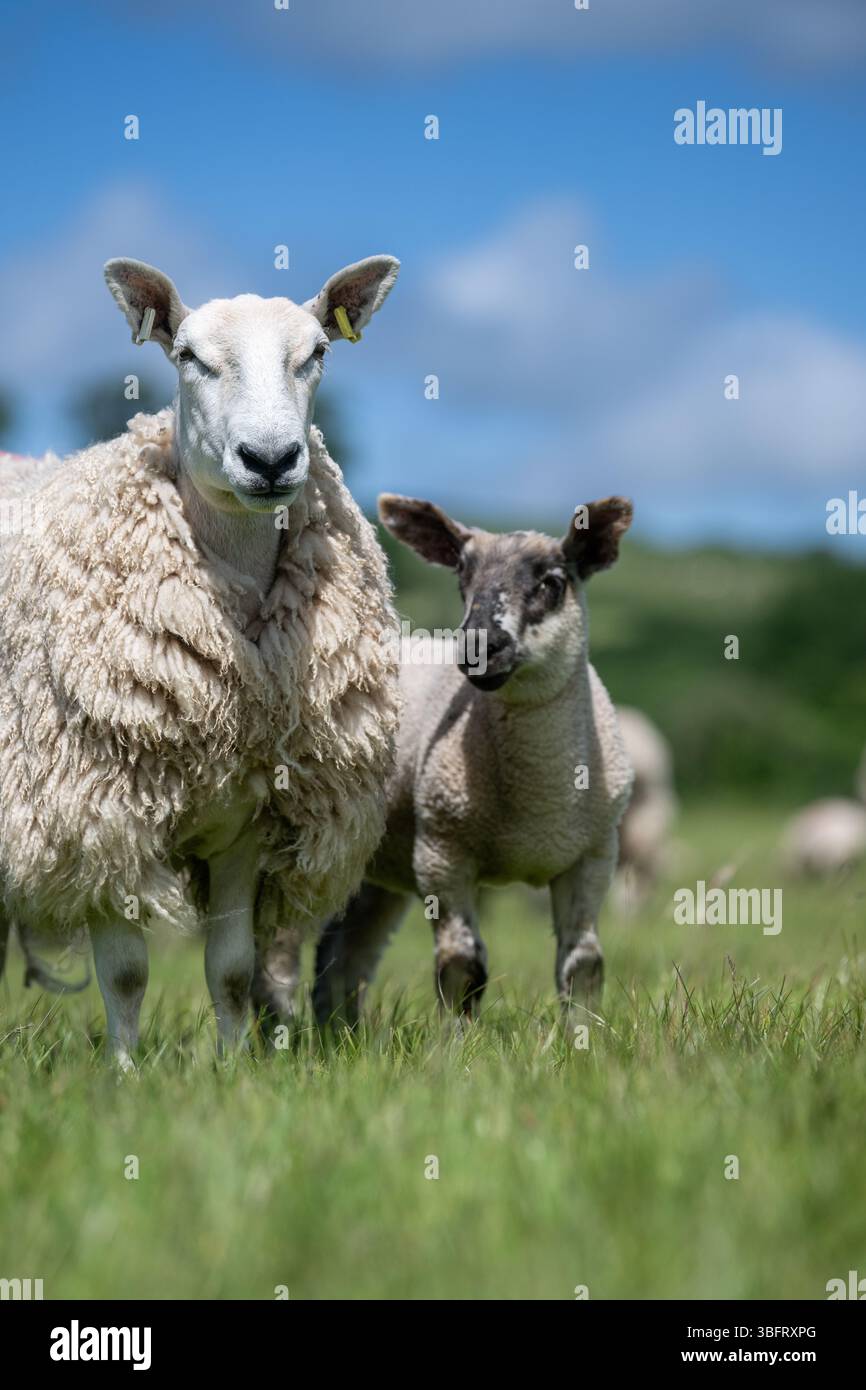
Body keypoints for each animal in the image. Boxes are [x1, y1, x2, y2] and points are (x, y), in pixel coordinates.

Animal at [0, 256, 402, 1065]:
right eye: (188, 356)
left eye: (317, 352)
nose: (270, 459)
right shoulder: (100, 809)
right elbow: (125, 974)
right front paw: (124, 1074)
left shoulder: (248, 820)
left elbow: (233, 970)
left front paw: (233, 1069)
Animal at [303, 493, 634, 1031]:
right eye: (462, 575)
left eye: (551, 583)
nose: (480, 646)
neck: (537, 801)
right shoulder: (442, 851)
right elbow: (462, 964)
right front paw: (456, 1043)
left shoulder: (593, 855)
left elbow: (583, 963)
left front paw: (584, 1038)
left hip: (376, 864)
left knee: (344, 951)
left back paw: (339, 1033)